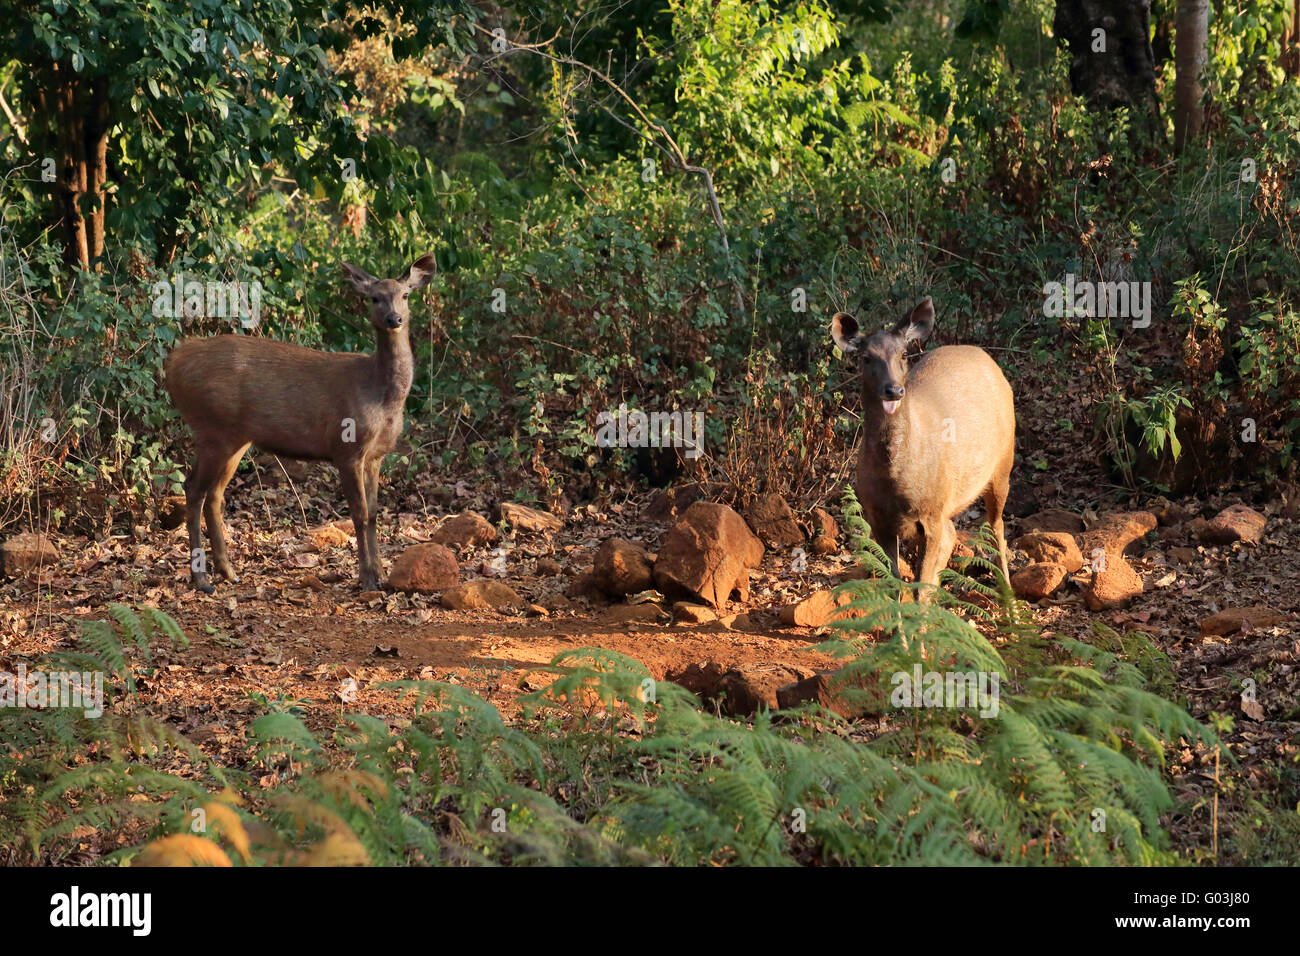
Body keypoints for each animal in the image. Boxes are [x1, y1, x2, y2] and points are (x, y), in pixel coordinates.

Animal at [164, 255, 437, 593]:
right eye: (374, 298)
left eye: (405, 295)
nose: (394, 319)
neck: (380, 396)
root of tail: (172, 365)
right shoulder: (346, 448)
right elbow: (359, 515)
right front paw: (367, 578)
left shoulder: (376, 456)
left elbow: (374, 514)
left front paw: (381, 574)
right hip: (212, 428)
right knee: (193, 489)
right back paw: (201, 578)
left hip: (236, 439)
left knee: (214, 494)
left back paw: (228, 571)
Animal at [831, 296, 1015, 597]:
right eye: (865, 358)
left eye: (904, 355)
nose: (894, 390)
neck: (895, 478)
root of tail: (984, 356)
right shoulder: (877, 518)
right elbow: (895, 582)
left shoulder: (931, 514)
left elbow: (917, 584)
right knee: (953, 532)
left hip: (1003, 462)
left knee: (996, 526)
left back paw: (1009, 598)